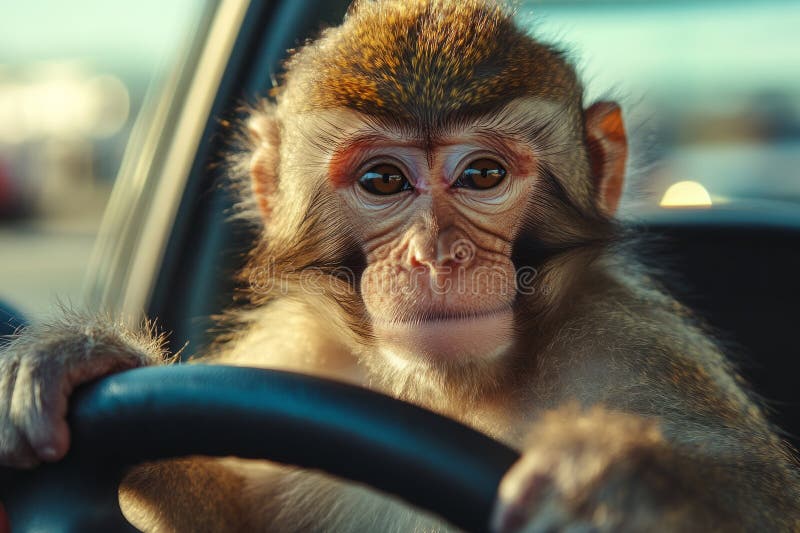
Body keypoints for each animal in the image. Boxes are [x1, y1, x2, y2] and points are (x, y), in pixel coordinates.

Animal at [1, 0, 799, 531]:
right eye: (383, 181)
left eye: (482, 175)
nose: (435, 254)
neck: (449, 392)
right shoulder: (295, 358)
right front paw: (84, 358)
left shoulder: (631, 345)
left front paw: (629, 479)